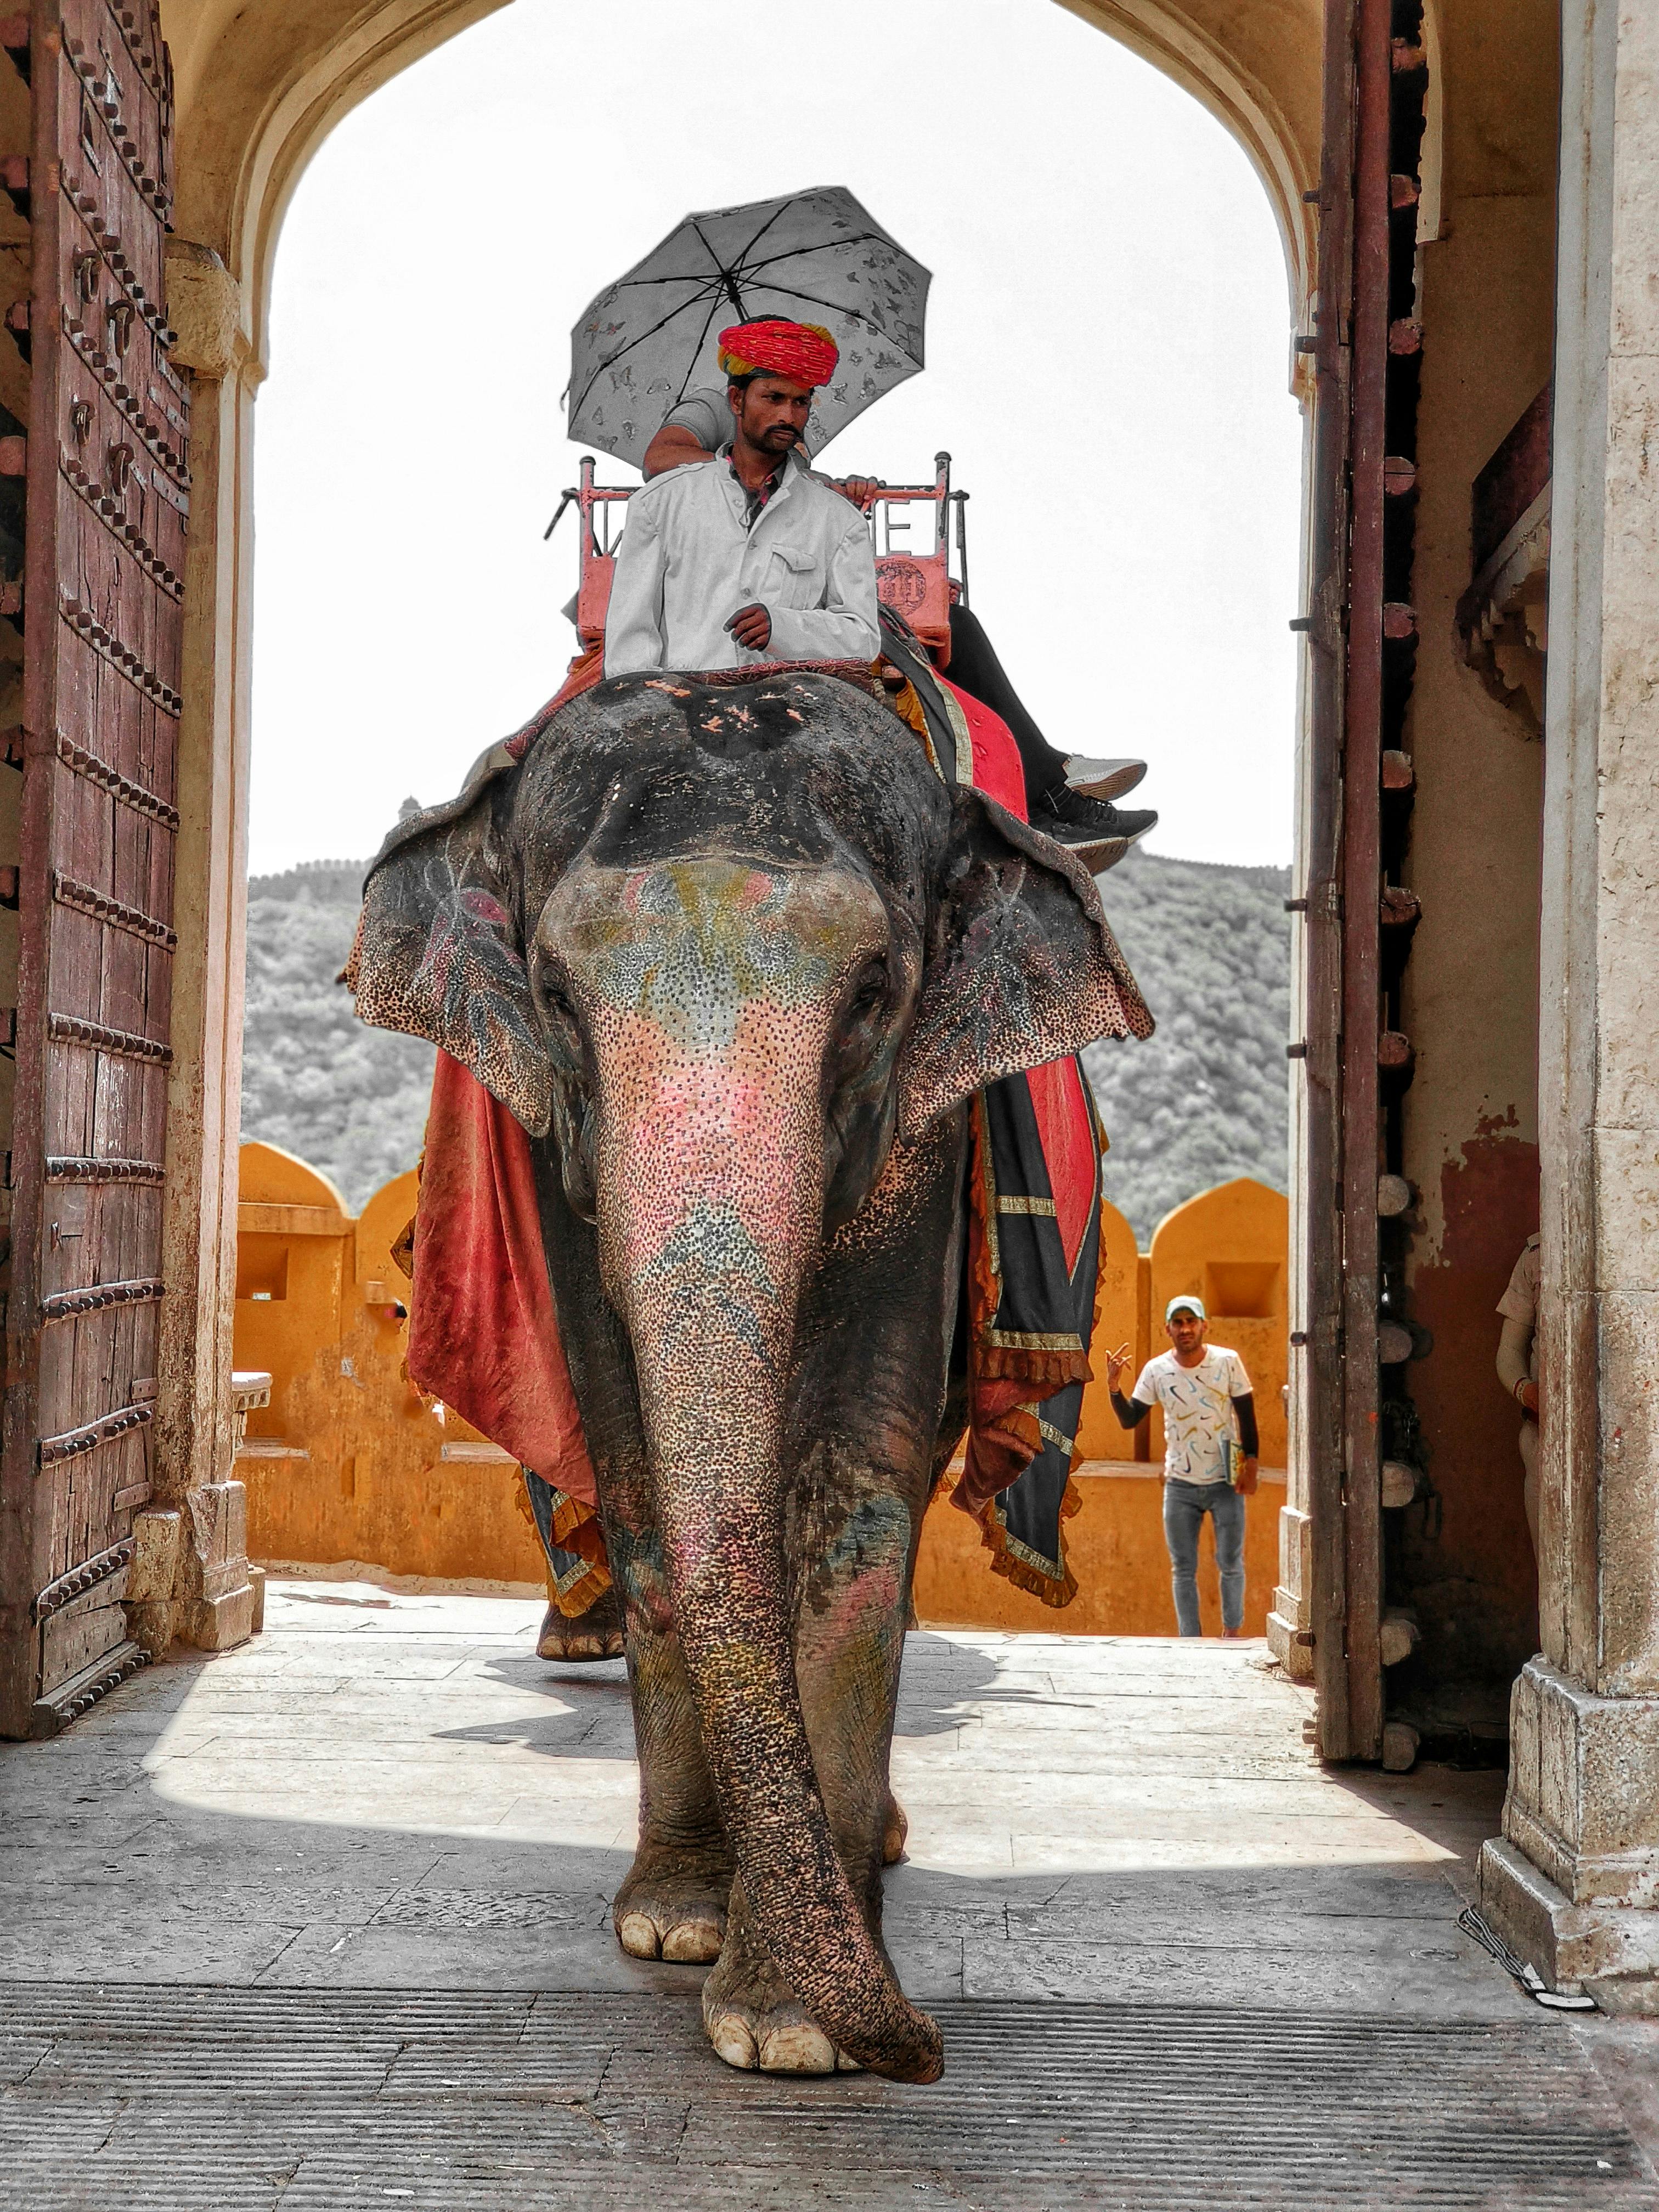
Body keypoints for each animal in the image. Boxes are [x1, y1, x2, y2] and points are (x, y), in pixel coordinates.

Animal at [348, 666, 1149, 2083]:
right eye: (554, 993)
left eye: (878, 990)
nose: (924, 2050)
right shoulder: (557, 1155)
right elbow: (634, 1468)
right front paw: (675, 1931)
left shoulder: (924, 1141)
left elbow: (852, 1476)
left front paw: (794, 2025)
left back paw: (876, 1847)